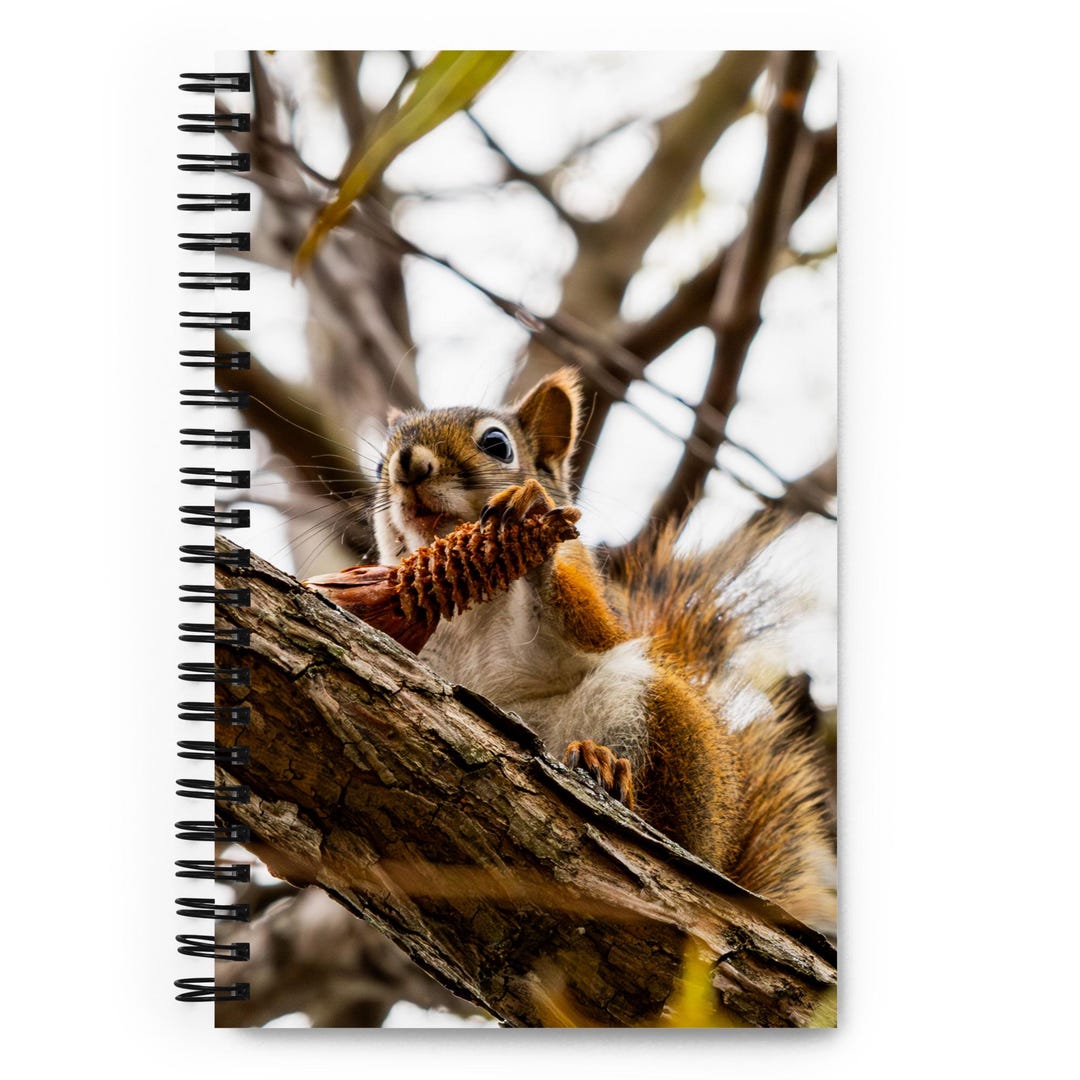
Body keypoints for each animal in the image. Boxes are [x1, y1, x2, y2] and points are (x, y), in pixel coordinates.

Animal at [360, 367, 836, 933]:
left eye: (497, 444)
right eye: (379, 461)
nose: (409, 464)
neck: (469, 605)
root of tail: (718, 846)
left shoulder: (594, 609)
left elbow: (589, 621)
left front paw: (529, 511)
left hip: (658, 710)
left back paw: (606, 769)